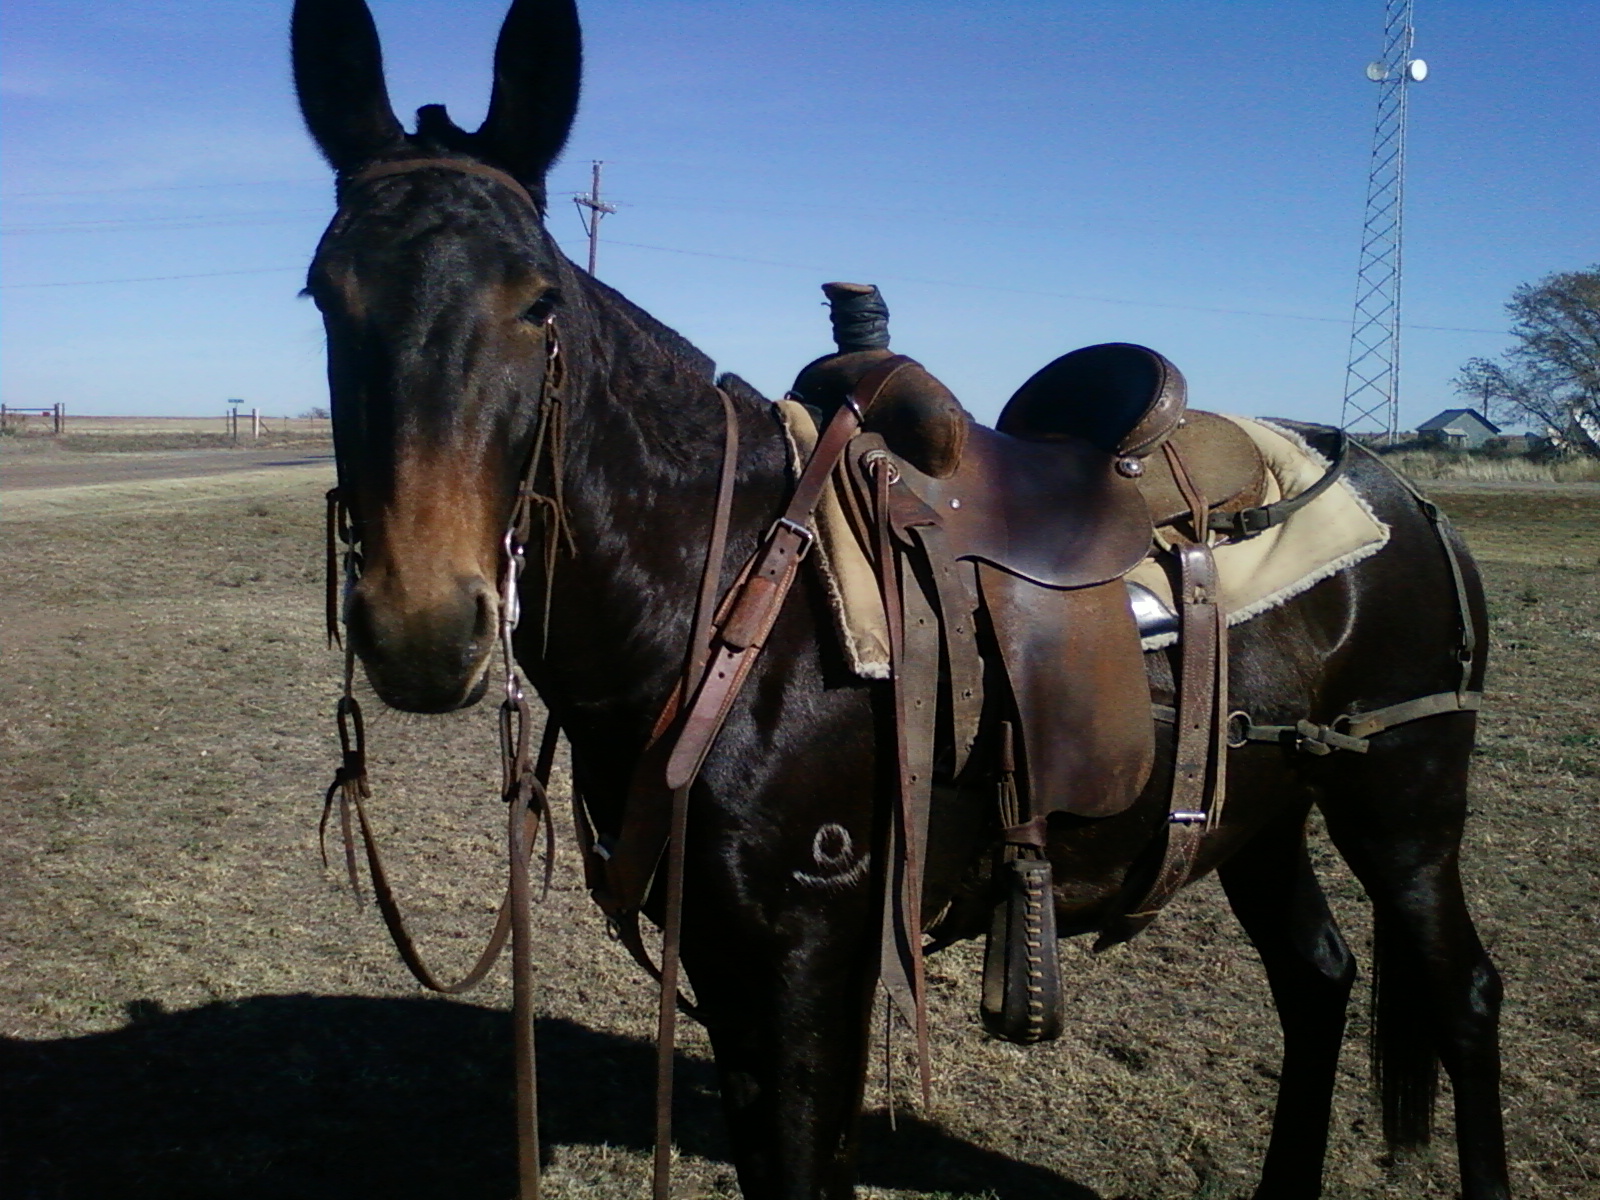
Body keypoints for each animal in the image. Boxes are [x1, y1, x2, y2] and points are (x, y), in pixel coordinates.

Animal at [291, 1, 1510, 1197]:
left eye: (537, 300)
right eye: (322, 293)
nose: (422, 626)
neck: (725, 596)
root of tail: (1398, 488)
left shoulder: (802, 945)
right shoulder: (737, 959)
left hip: (1400, 801)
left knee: (1462, 993)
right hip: (1262, 810)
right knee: (1318, 977)